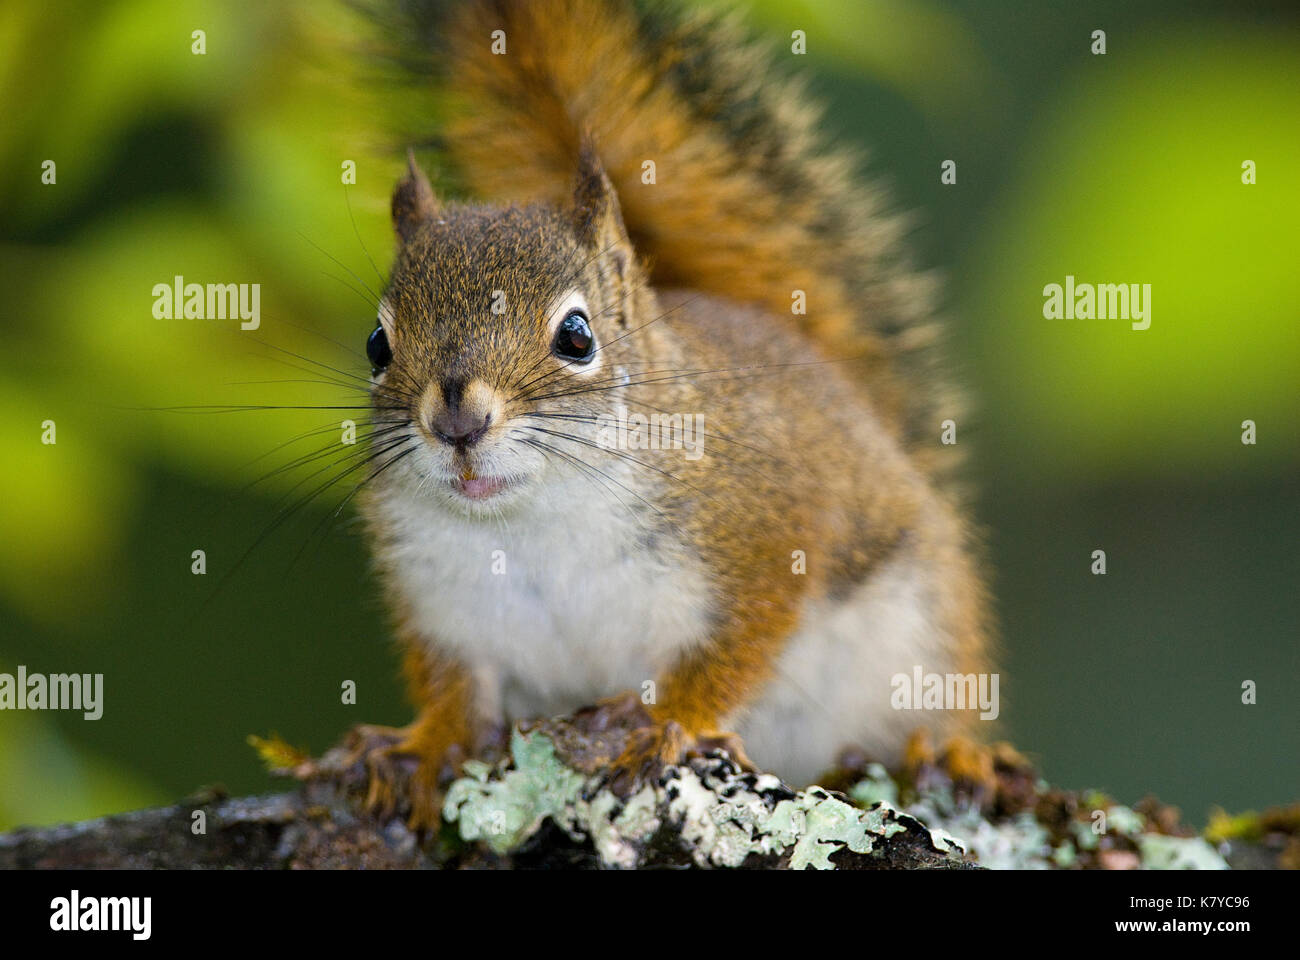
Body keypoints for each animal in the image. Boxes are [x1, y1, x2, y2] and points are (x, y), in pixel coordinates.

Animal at [345, 0, 990, 828]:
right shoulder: (442, 602)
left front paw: (671, 724)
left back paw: (952, 752)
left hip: (922, 633)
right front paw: (425, 745)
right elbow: (456, 689)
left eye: (577, 336)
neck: (531, 522)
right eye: (377, 345)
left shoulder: (765, 529)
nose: (457, 423)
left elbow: (732, 650)